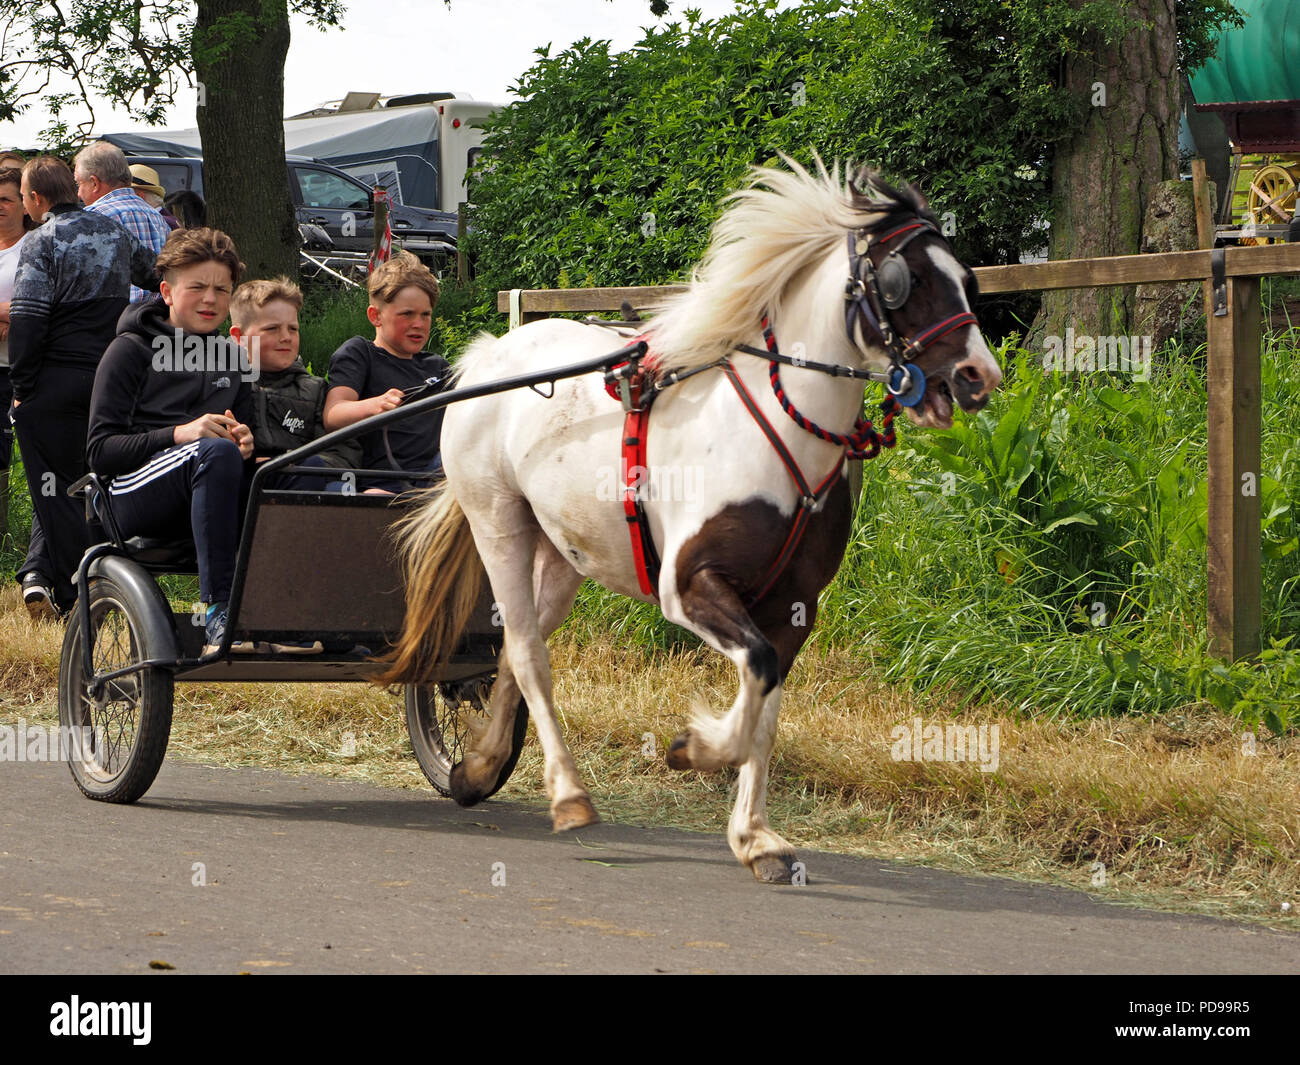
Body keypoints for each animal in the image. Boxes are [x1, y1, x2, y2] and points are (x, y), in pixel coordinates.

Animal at [379, 157, 1002, 882]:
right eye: (907, 281)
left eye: (966, 279)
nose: (978, 376)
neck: (778, 429)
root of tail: (487, 356)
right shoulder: (689, 585)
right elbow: (754, 674)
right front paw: (695, 749)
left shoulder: (795, 607)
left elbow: (765, 704)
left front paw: (755, 836)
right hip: (497, 523)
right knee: (530, 653)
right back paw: (568, 793)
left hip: (563, 552)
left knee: (515, 644)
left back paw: (478, 767)